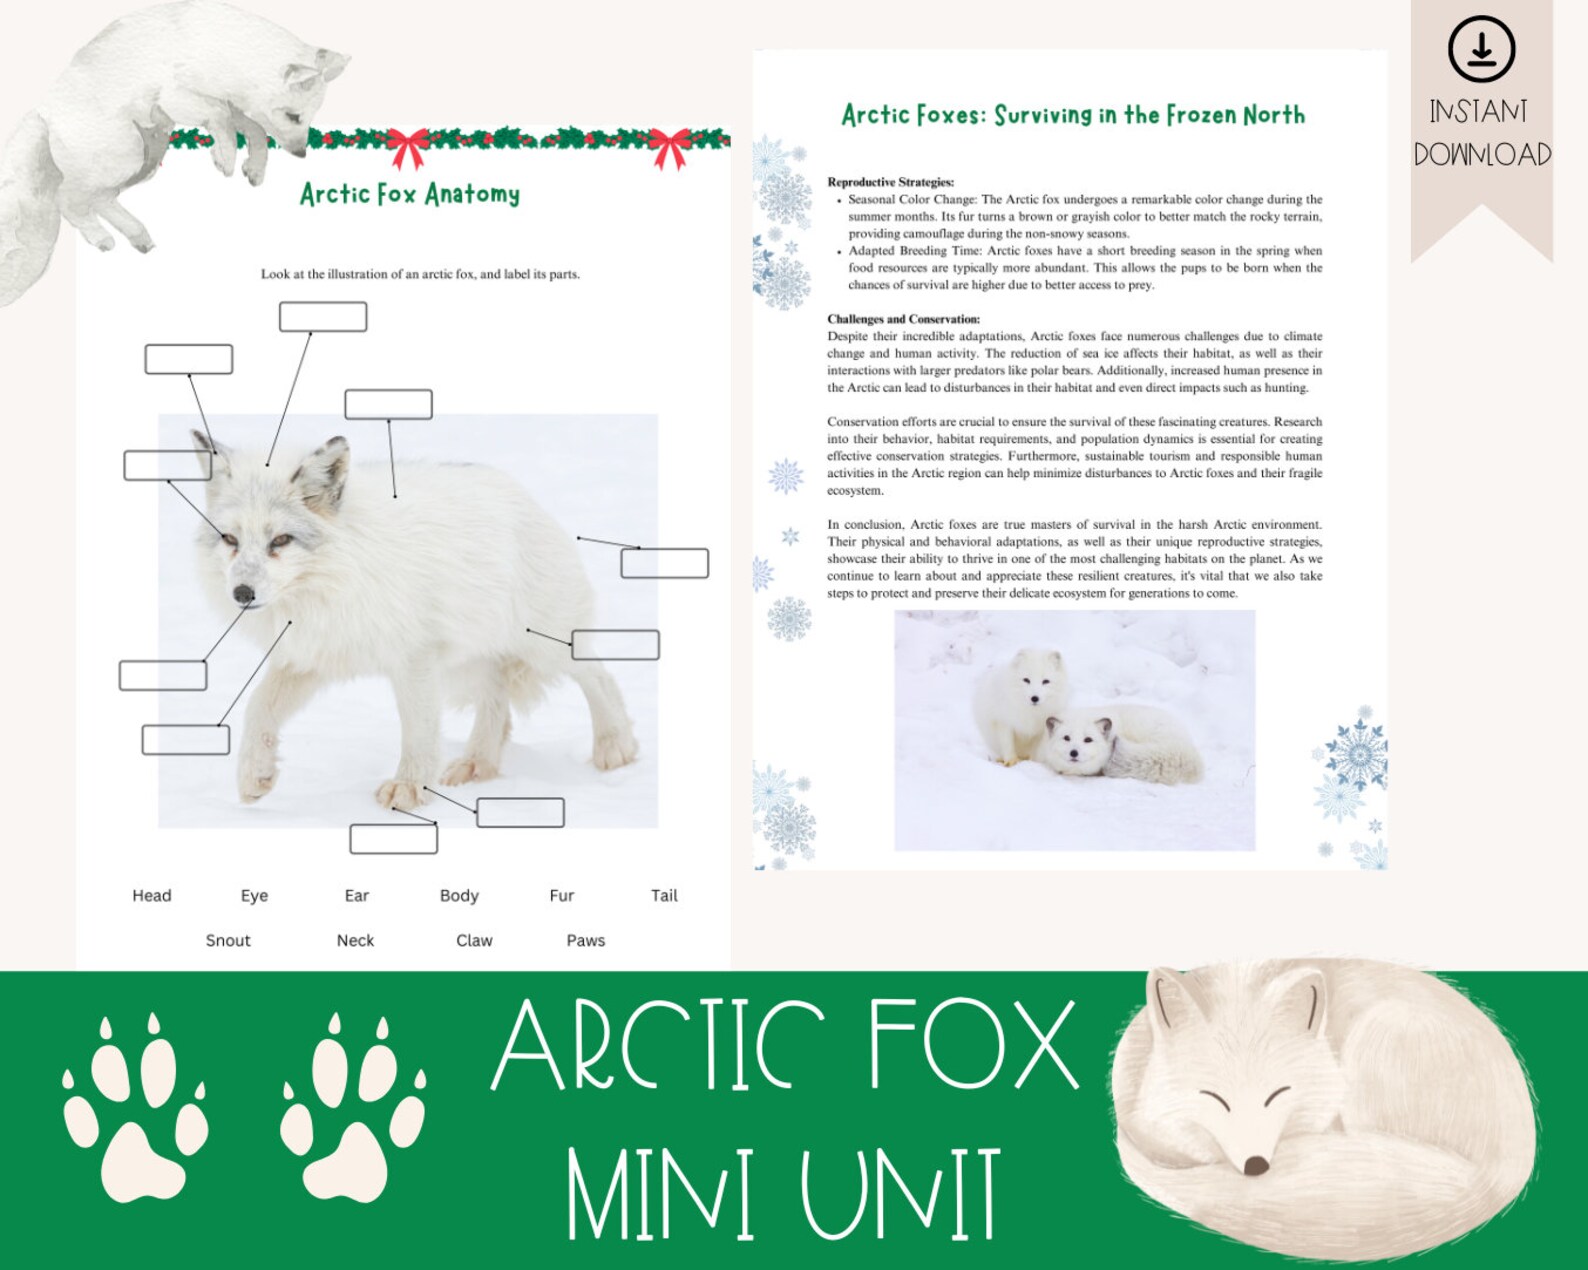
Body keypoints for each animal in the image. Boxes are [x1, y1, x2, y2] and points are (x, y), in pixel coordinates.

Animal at [0, 1, 347, 306]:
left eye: (309, 117)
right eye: (293, 116)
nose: (302, 154)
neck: (230, 50)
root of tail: (43, 113)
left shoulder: (231, 104)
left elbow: (255, 130)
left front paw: (255, 167)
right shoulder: (178, 97)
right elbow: (222, 117)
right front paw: (225, 157)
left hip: (147, 156)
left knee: (100, 197)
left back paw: (137, 234)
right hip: (124, 152)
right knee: (68, 198)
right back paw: (100, 237)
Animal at [190, 431, 638, 811]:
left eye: (281, 540)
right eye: (230, 540)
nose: (242, 593)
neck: (337, 578)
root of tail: (521, 494)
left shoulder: (413, 658)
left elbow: (418, 731)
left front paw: (408, 788)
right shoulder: (315, 656)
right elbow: (258, 707)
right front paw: (254, 775)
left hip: (541, 646)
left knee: (599, 677)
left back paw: (616, 747)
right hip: (464, 666)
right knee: (497, 703)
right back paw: (478, 765)